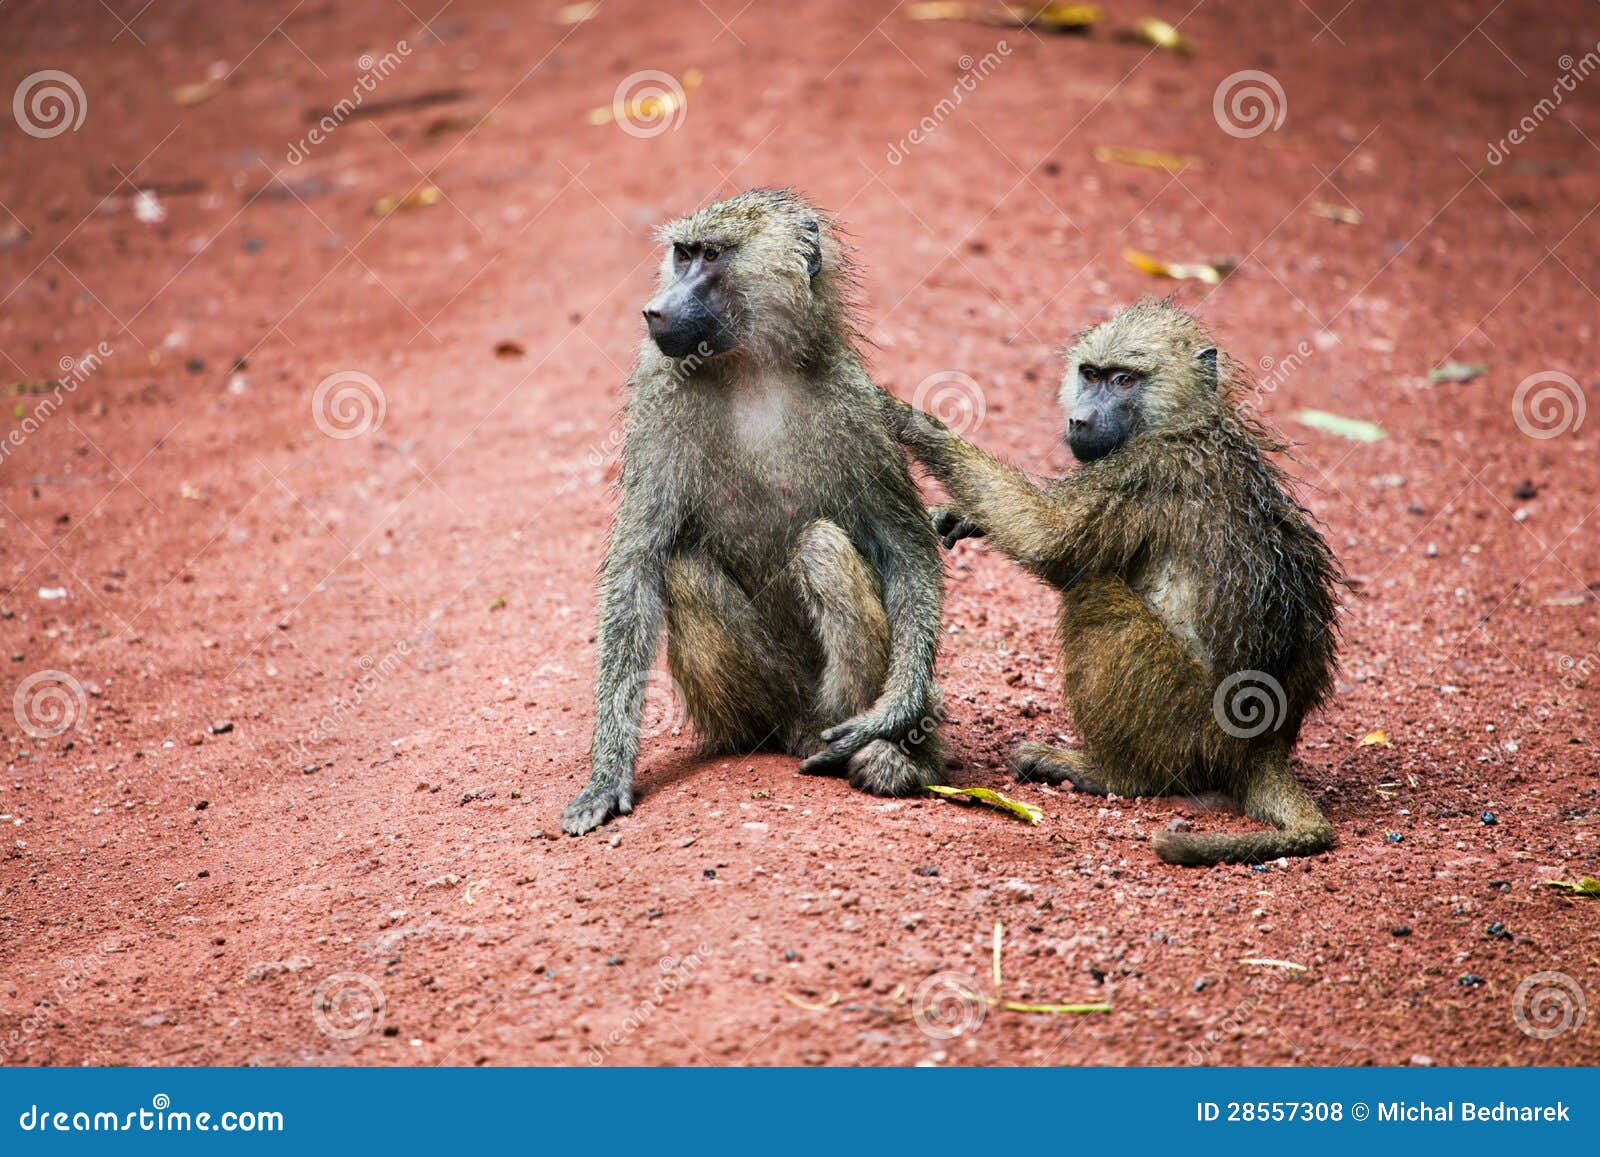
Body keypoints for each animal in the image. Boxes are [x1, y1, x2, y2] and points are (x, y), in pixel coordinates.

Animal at [561, 188, 945, 836]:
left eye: (712, 256)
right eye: (682, 254)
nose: (653, 311)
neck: (754, 367)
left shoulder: (860, 404)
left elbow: (907, 553)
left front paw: (891, 715)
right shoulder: (660, 389)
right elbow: (639, 564)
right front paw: (607, 774)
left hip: (828, 702)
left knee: (821, 547)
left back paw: (880, 754)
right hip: (756, 707)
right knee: (684, 568)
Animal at [886, 298, 1342, 865]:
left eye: (1125, 380)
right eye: (1091, 375)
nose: (1080, 419)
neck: (1186, 420)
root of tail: (1265, 745)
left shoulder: (1146, 472)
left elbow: (1048, 540)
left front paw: (908, 420)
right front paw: (963, 515)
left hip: (1188, 725)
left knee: (1093, 594)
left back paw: (1107, 773)